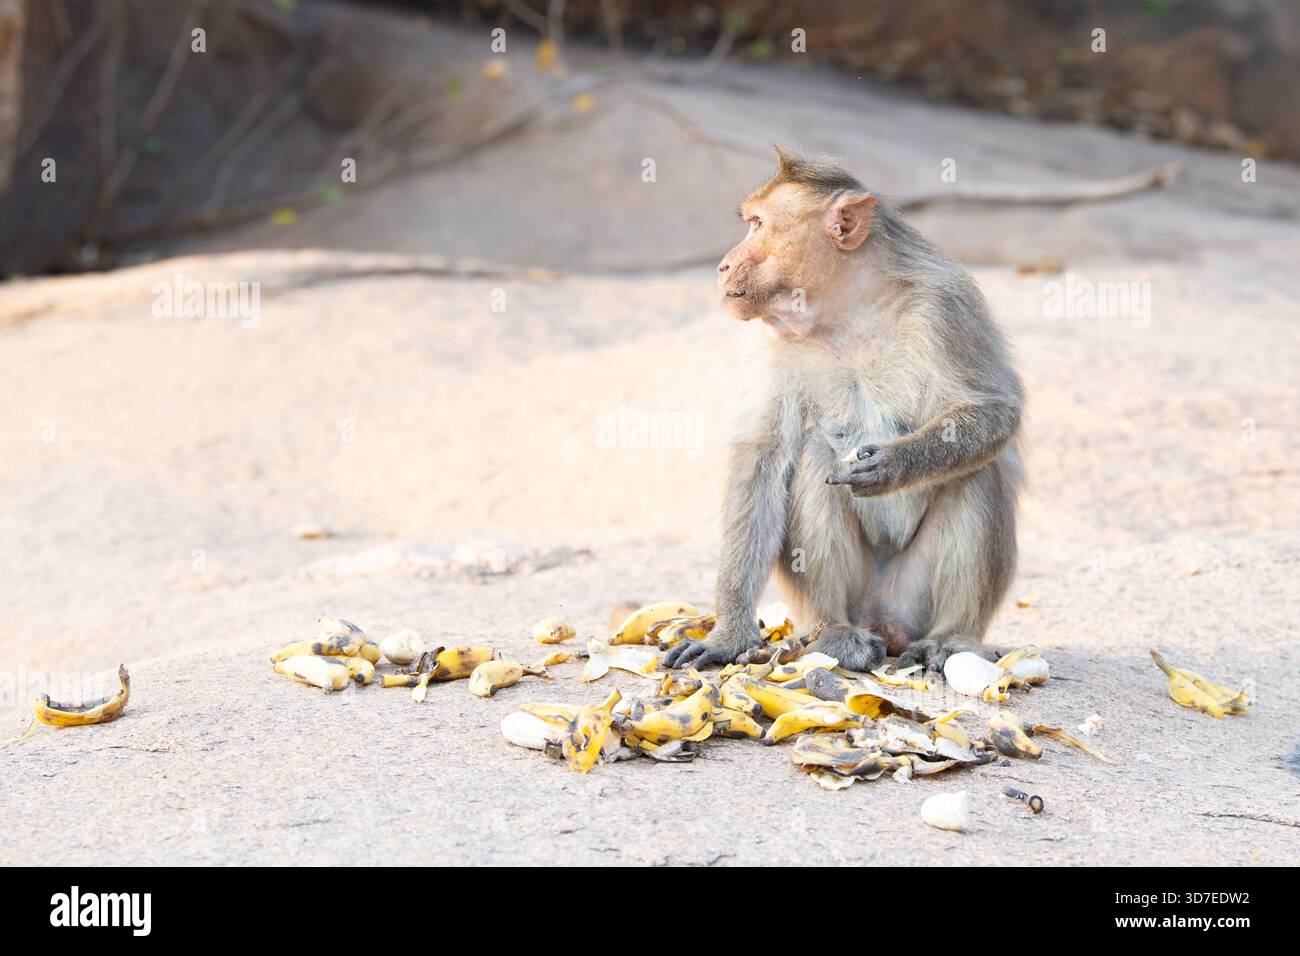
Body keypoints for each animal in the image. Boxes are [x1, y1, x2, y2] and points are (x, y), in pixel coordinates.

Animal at [666, 148, 1024, 674]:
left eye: (758, 224)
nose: (723, 265)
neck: (850, 310)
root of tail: (884, 621)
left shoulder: (946, 307)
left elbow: (994, 411)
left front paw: (896, 465)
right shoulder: (773, 339)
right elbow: (762, 459)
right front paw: (728, 636)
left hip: (913, 598)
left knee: (977, 470)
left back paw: (951, 637)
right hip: (852, 600)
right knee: (814, 455)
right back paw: (835, 631)